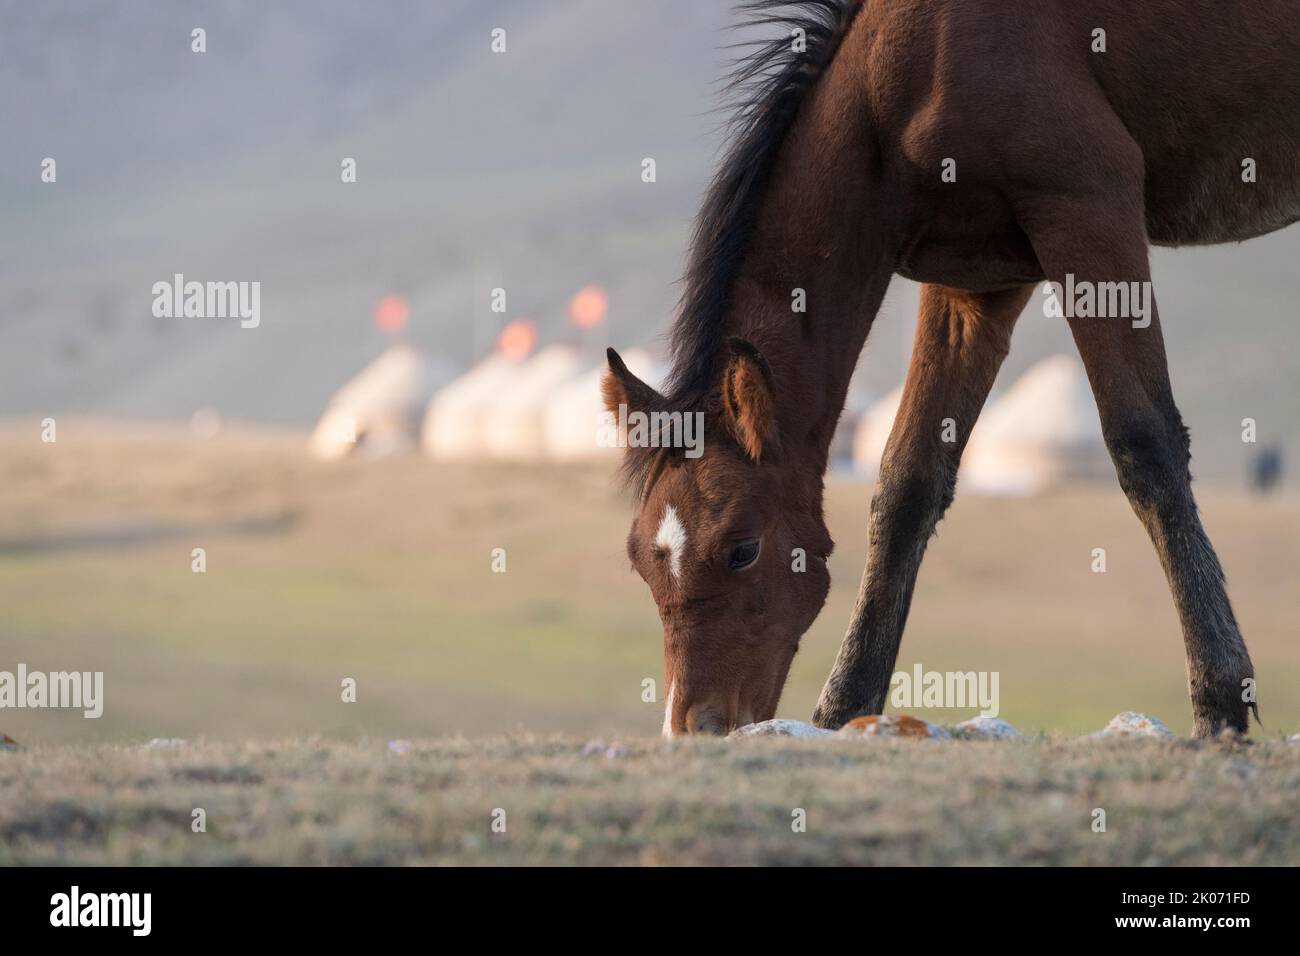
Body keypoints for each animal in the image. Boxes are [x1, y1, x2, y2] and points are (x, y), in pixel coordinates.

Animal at [602, 0, 1299, 738]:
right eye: (640, 560)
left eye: (741, 549)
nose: (693, 727)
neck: (910, 70)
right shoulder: (976, 284)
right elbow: (909, 483)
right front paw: (846, 708)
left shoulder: (1088, 207)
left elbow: (1147, 444)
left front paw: (1219, 701)